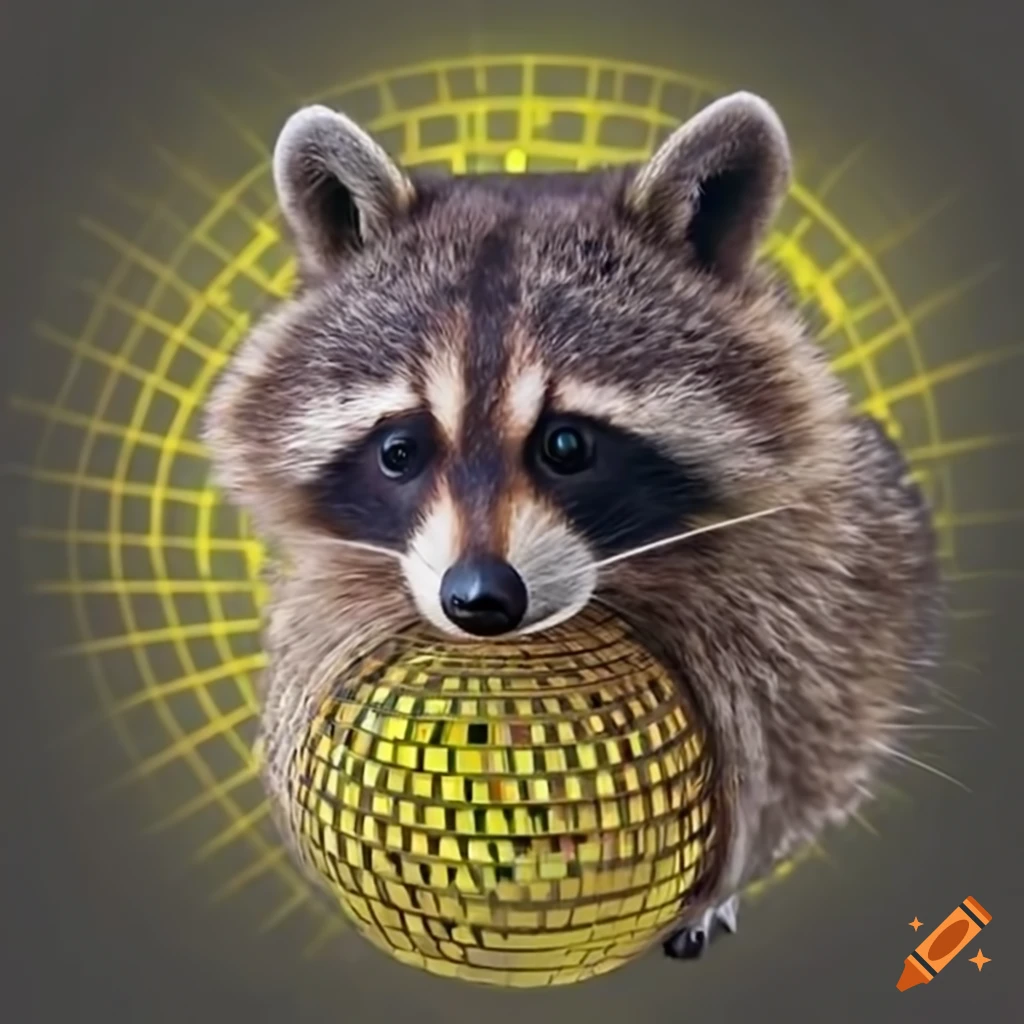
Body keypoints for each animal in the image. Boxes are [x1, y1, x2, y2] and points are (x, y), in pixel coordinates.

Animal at [204, 92, 940, 960]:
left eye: (567, 445)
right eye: (399, 450)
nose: (479, 601)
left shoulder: (817, 574)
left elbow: (795, 720)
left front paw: (720, 877)